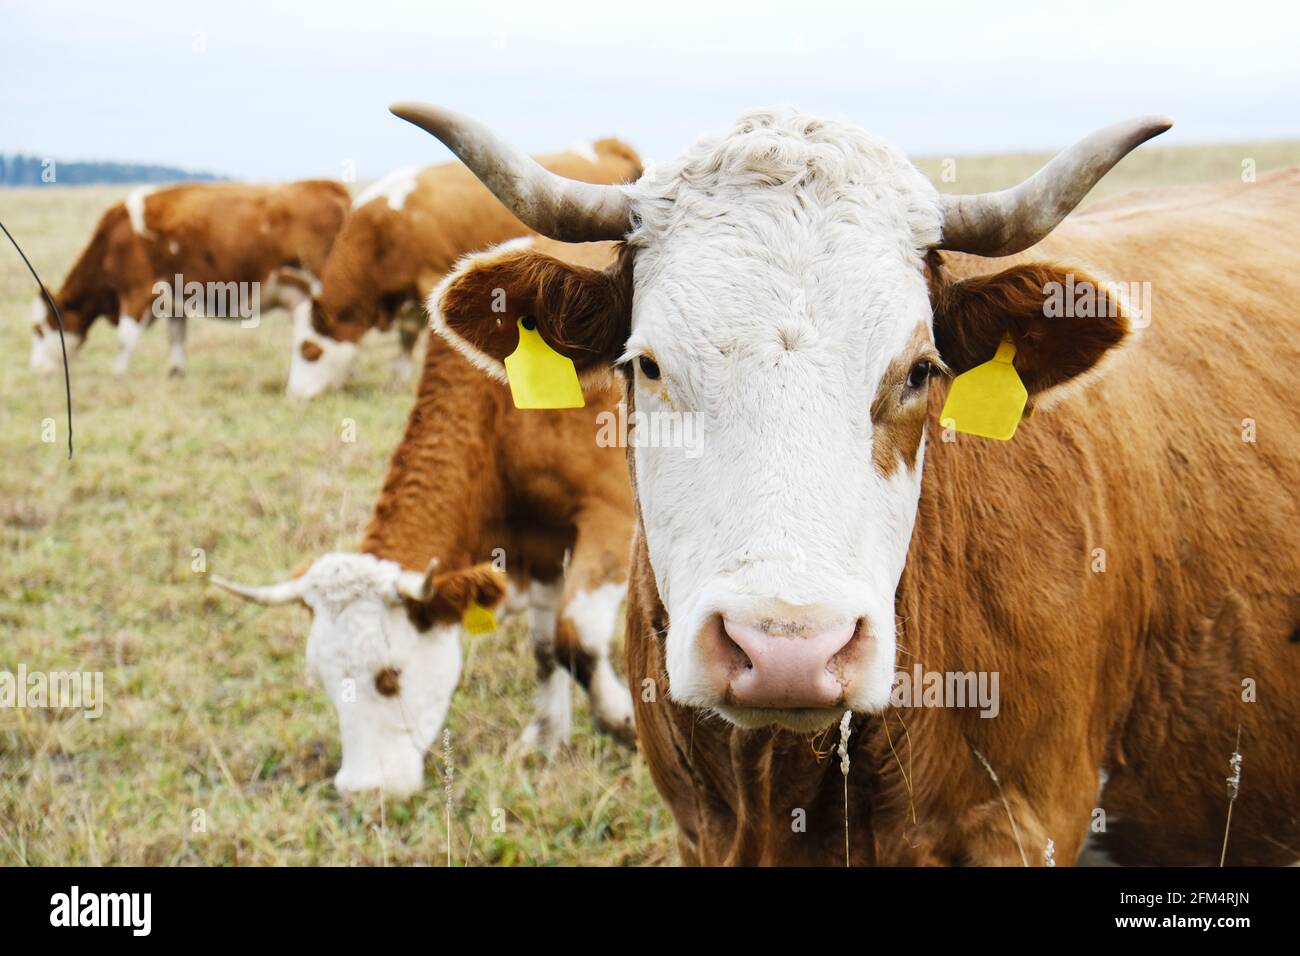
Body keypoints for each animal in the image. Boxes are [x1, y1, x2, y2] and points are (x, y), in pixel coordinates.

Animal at [29, 180, 350, 377]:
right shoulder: (173, 300)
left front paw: (118, 374)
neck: (113, 239)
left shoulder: (137, 291)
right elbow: (177, 337)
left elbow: (125, 339)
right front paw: (176, 373)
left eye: (40, 329)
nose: (37, 370)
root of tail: (325, 185)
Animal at [211, 238, 636, 796]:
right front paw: (545, 738)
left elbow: (576, 637)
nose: (363, 790)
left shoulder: (613, 516)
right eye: (323, 680)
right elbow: (546, 647)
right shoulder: (539, 542)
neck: (503, 413)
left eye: (390, 676)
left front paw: (622, 719)